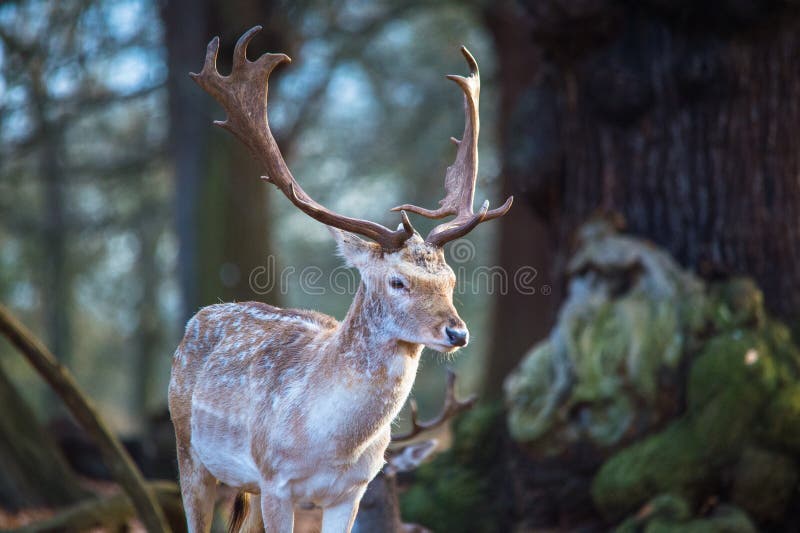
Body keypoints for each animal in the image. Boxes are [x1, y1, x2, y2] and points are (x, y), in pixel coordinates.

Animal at [168, 25, 512, 533]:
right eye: (398, 282)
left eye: (451, 279)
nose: (457, 332)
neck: (332, 446)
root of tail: (200, 315)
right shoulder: (276, 481)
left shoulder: (350, 492)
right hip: (188, 450)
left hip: (245, 486)